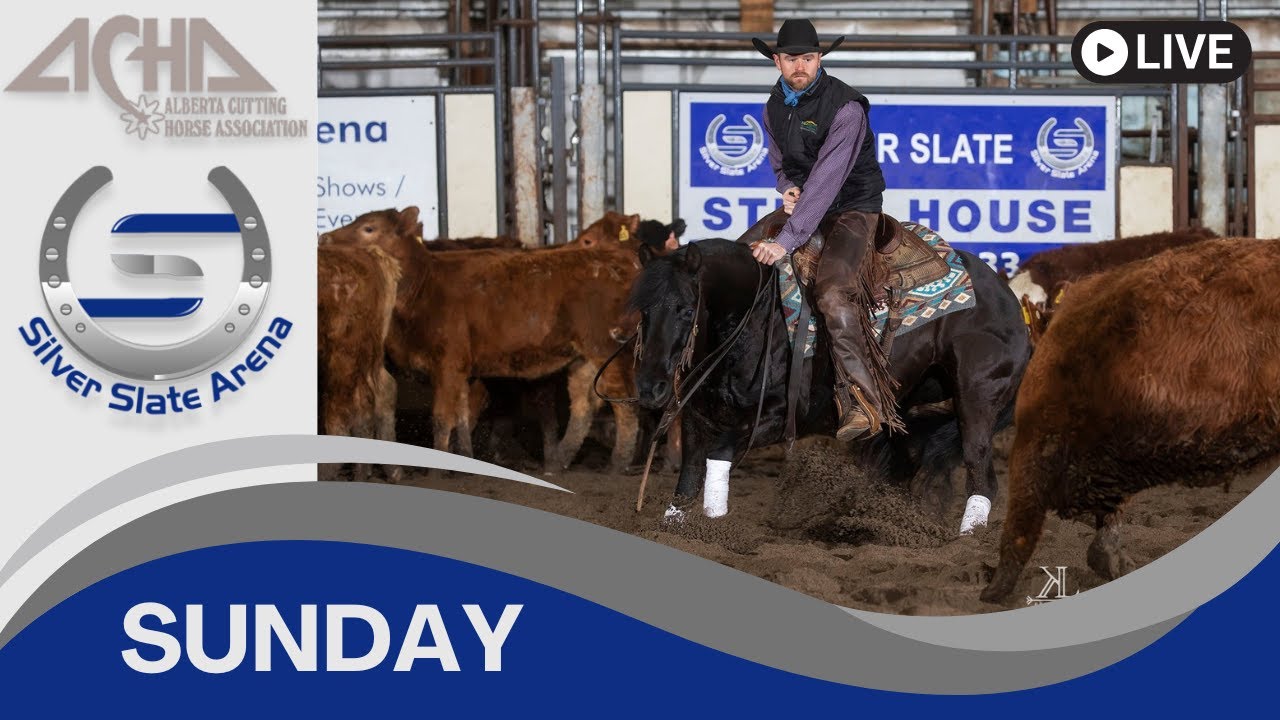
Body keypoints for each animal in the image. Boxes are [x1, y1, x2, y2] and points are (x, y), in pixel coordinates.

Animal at [626, 235, 1030, 535]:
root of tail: (1010, 301)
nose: (649, 387)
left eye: (684, 309)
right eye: (643, 310)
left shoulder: (783, 417)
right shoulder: (696, 416)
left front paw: (714, 524)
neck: (755, 320)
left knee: (981, 472)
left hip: (977, 395)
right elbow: (688, 477)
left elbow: (720, 453)